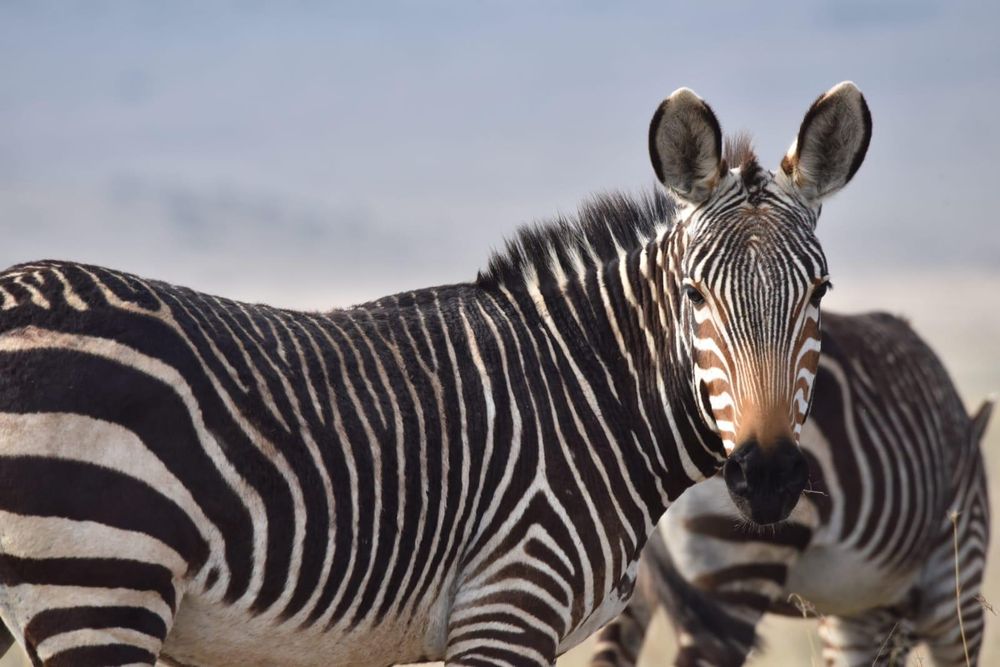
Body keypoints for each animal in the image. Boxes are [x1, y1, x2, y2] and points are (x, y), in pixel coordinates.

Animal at [0, 82, 870, 666]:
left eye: (820, 292)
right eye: (694, 295)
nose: (766, 475)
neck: (591, 395)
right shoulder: (507, 603)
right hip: (101, 582)